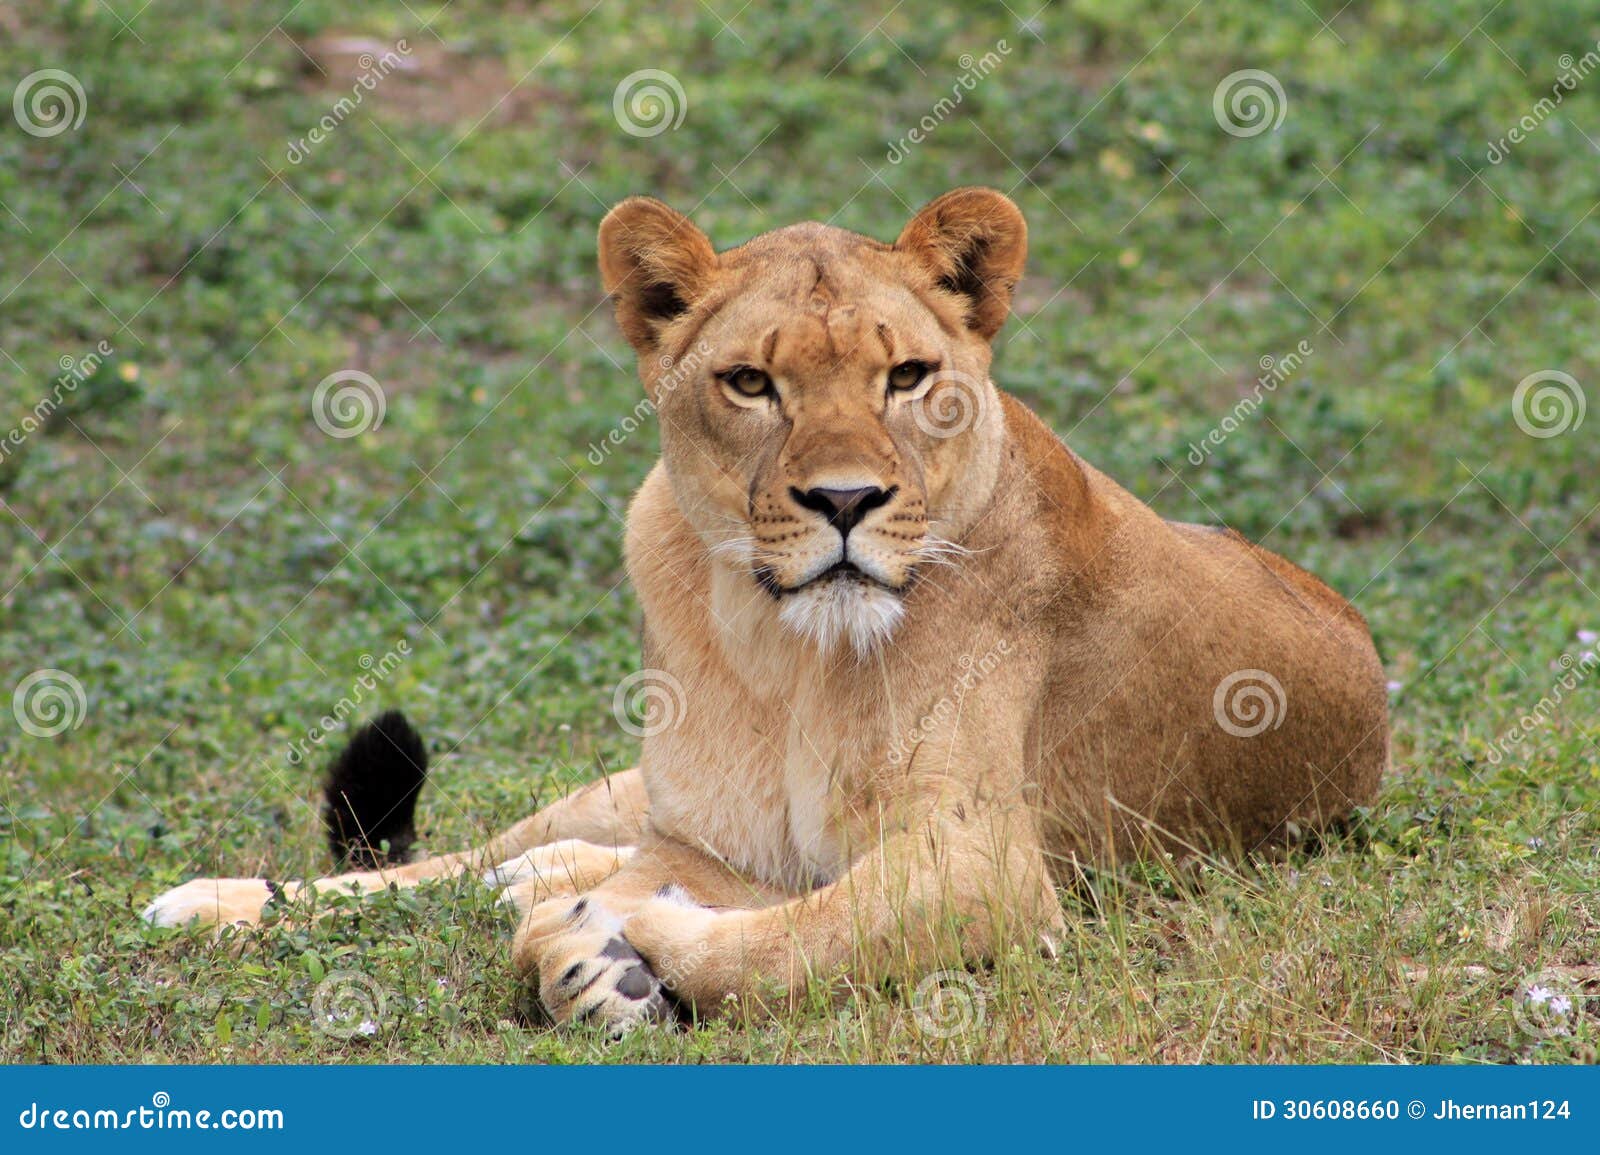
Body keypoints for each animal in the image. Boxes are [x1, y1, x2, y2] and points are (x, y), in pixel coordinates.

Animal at [145, 187, 1389, 1032]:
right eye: (751, 382)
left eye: (905, 377)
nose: (843, 500)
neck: (790, 650)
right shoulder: (701, 832)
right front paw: (589, 954)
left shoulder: (983, 862)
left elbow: (803, 936)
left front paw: (613, 945)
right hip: (613, 789)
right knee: (444, 864)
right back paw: (207, 903)